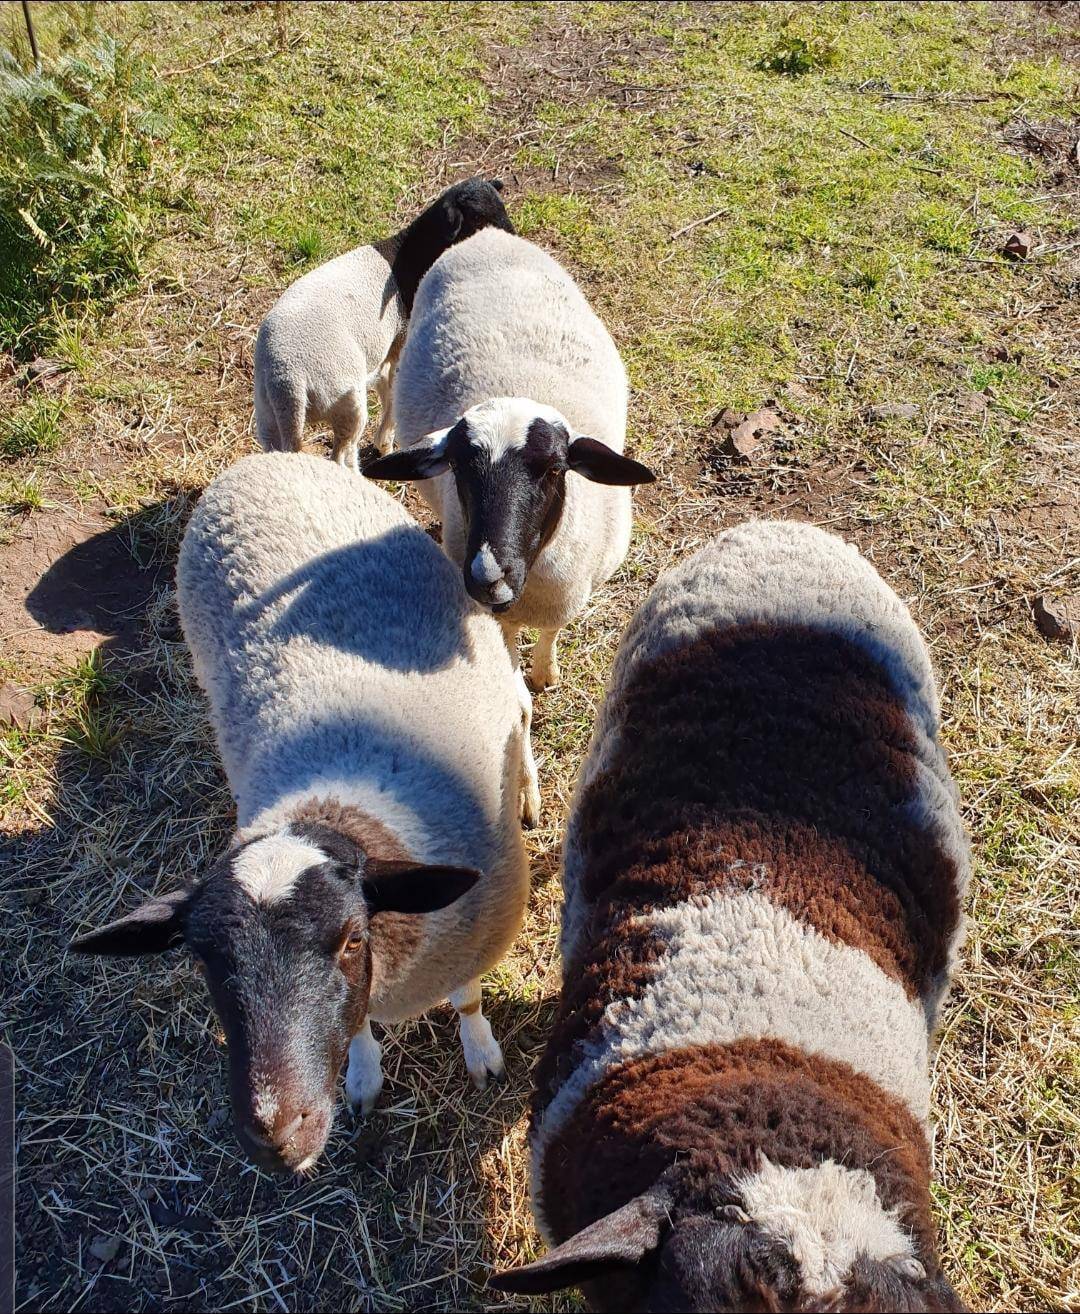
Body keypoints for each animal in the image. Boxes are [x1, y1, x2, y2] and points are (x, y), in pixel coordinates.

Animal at [70, 452, 530, 1176]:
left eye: (350, 941)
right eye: (204, 960)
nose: (276, 1134)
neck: (344, 795)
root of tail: (261, 460)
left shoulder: (477, 931)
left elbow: (469, 997)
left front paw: (480, 1050)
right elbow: (360, 1027)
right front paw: (364, 1076)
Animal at [253, 178, 512, 472]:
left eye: (502, 206)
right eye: (480, 220)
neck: (408, 259)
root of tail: (287, 383)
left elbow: (385, 386)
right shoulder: (399, 340)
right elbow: (392, 390)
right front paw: (386, 442)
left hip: (267, 416)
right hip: (344, 400)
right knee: (342, 453)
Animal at [362, 228, 655, 703]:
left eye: (555, 468)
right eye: (457, 467)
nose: (488, 576)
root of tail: (489, 234)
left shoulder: (566, 595)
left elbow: (552, 631)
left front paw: (546, 673)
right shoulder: (495, 611)